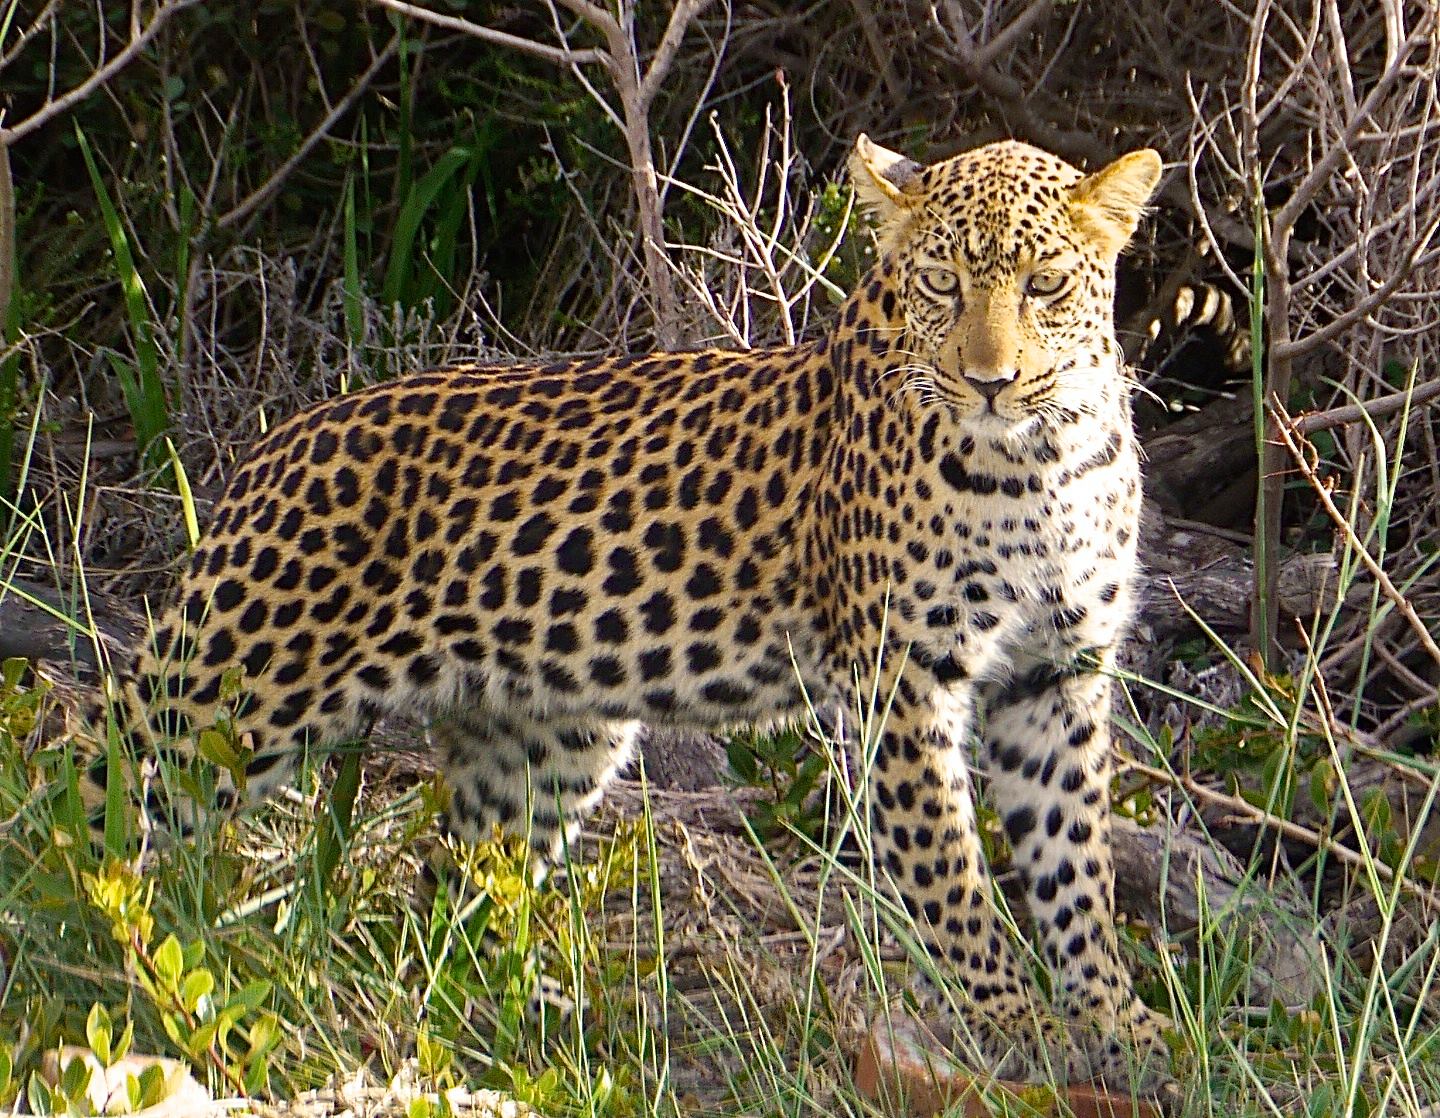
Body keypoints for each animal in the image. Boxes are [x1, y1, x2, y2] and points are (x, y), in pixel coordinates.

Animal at [87, 134, 1171, 1089]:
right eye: (943, 284)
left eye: (1045, 285)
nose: (990, 381)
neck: (1048, 458)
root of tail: (272, 447)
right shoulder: (901, 683)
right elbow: (952, 877)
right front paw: (1015, 1022)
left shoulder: (1058, 674)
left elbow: (1075, 867)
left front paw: (1117, 1025)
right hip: (234, 691)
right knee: (112, 793)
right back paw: (91, 938)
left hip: (544, 743)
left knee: (449, 889)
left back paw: (511, 1014)